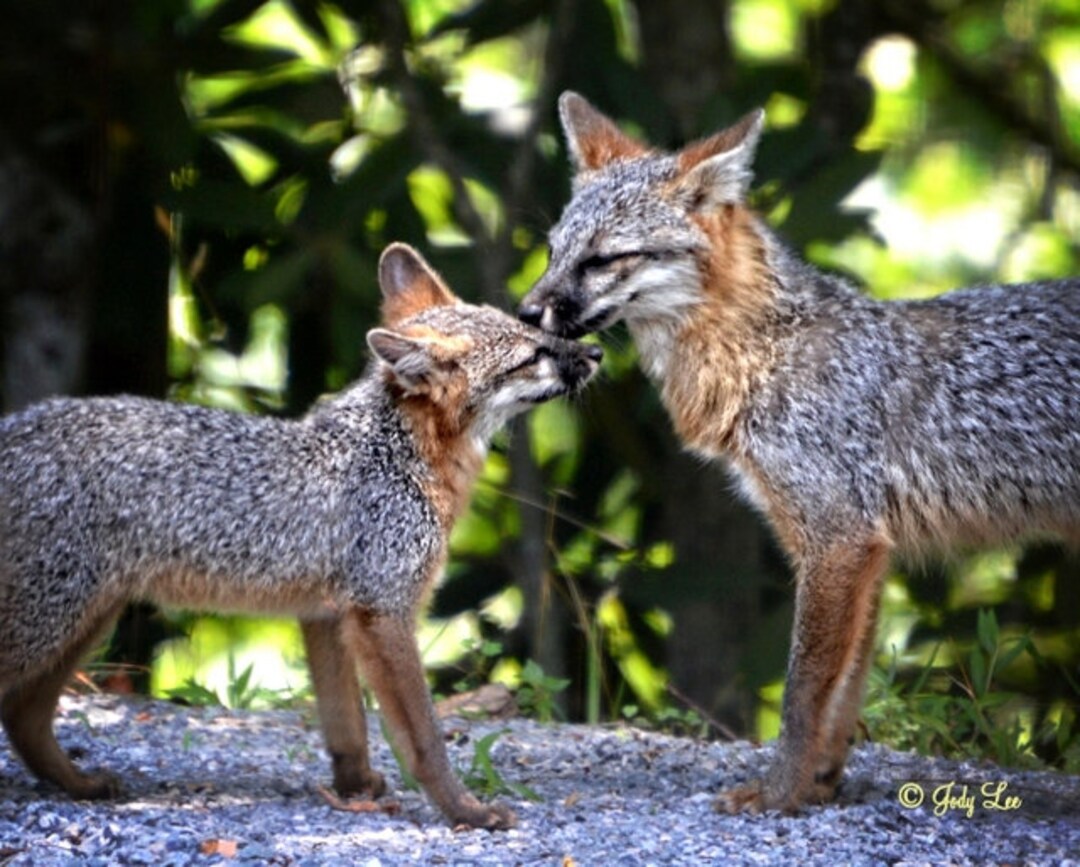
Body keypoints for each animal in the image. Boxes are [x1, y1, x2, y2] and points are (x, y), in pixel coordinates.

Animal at [0, 242, 601, 829]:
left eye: (539, 333)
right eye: (533, 354)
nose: (595, 354)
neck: (394, 455)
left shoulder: (328, 615)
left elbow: (346, 724)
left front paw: (355, 789)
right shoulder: (384, 612)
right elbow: (424, 738)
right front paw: (464, 811)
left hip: (82, 621)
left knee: (24, 718)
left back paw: (80, 785)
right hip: (52, 622)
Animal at [520, 91, 1080, 813]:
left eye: (602, 259)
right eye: (553, 250)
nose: (526, 311)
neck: (766, 351)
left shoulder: (838, 539)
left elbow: (802, 690)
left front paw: (777, 792)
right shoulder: (866, 550)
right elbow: (843, 695)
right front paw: (817, 784)